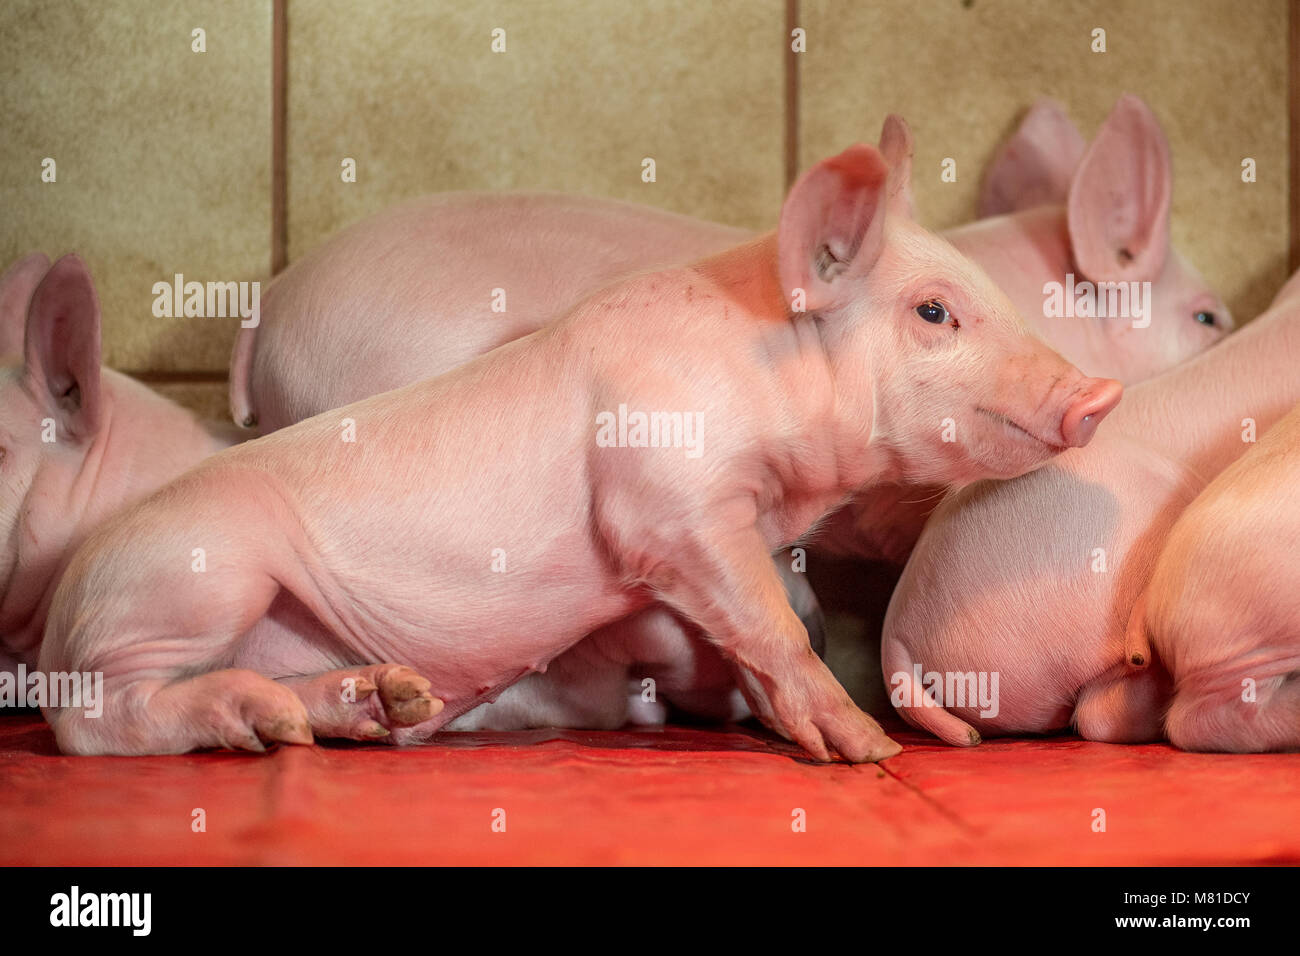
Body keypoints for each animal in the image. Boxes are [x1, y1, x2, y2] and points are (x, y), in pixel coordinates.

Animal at [40, 142, 1120, 758]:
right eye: (933, 311)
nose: (1099, 393)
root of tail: (59, 611)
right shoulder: (668, 506)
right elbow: (770, 623)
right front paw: (868, 749)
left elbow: (748, 640)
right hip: (202, 572)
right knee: (97, 717)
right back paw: (248, 724)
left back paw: (373, 704)